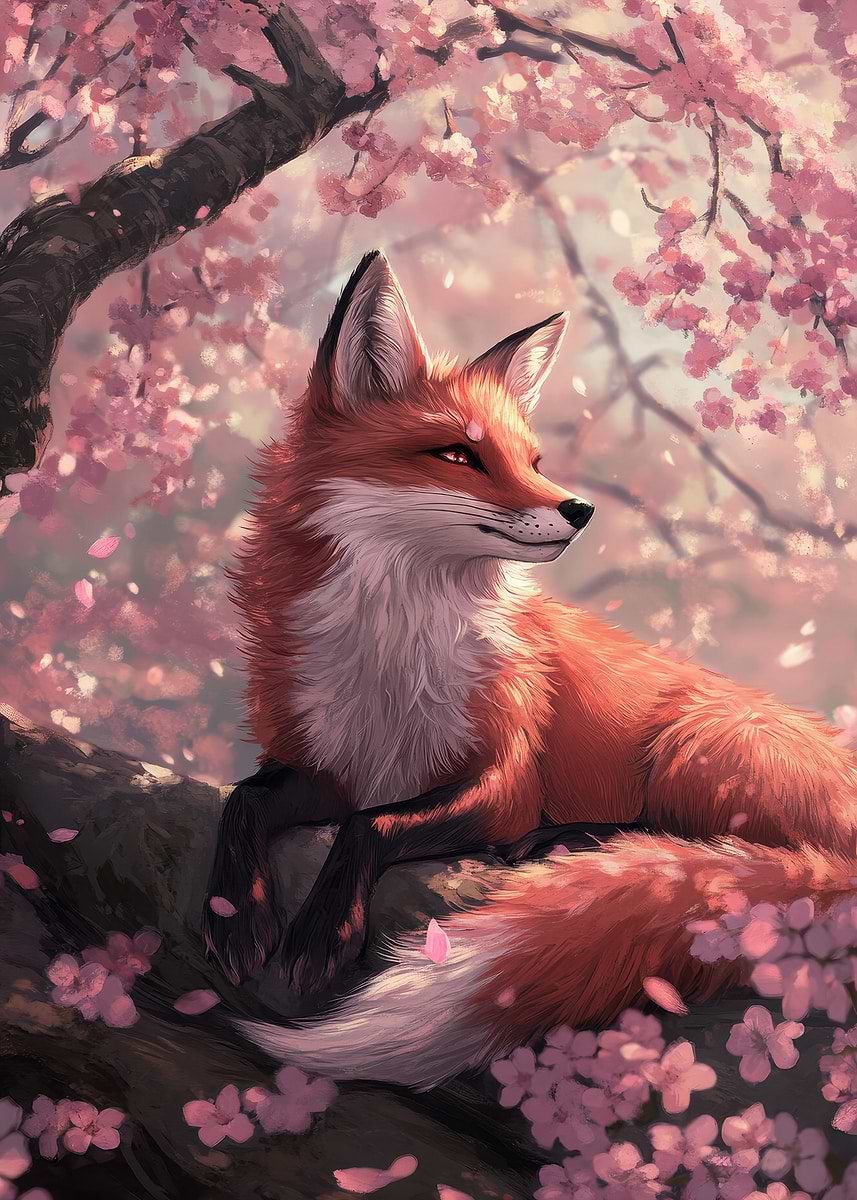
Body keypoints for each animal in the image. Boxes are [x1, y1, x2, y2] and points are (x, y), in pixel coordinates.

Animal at [203, 248, 857, 1089]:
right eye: (458, 454)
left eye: (531, 461)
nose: (578, 509)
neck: (394, 645)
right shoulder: (336, 762)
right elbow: (248, 801)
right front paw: (236, 914)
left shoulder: (503, 780)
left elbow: (370, 824)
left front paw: (322, 933)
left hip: (695, 748)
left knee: (727, 846)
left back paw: (569, 840)